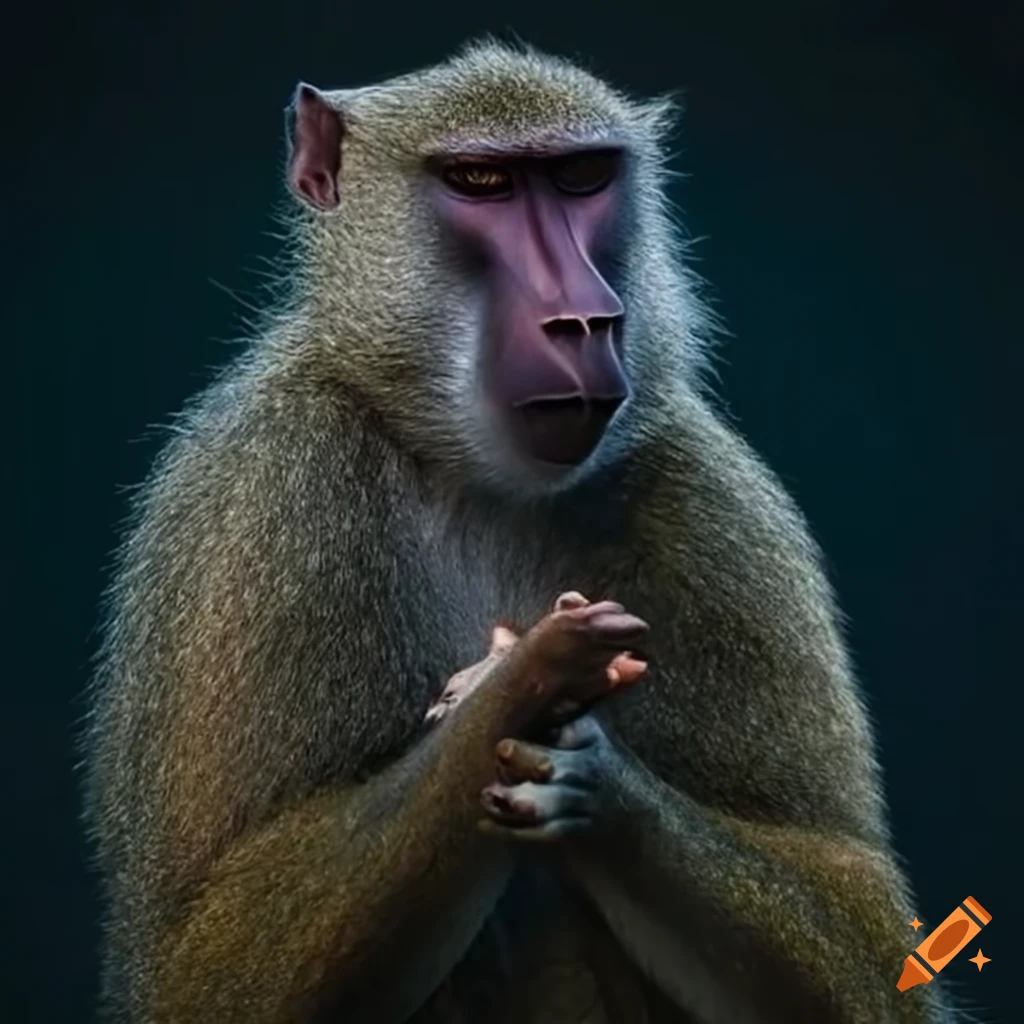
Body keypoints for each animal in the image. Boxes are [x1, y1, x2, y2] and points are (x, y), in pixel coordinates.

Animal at [81, 38, 953, 1024]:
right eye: (482, 181)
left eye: (580, 177)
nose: (584, 320)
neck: (473, 477)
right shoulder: (279, 485)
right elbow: (198, 961)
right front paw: (521, 684)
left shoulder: (706, 490)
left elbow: (862, 937)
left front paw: (590, 767)